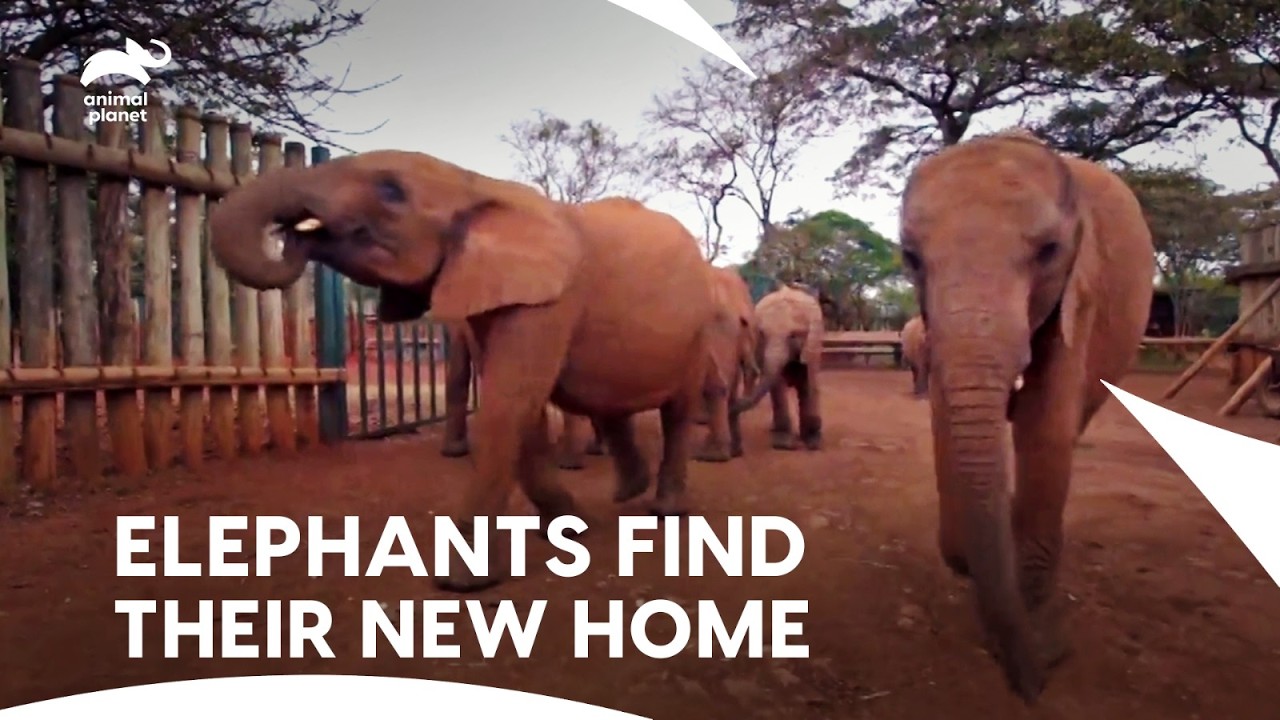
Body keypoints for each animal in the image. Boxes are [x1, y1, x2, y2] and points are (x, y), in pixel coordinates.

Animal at [207, 150, 720, 592]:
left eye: (391, 191)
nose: (293, 235)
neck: (475, 184)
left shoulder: (550, 300)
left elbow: (507, 407)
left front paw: (462, 584)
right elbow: (521, 412)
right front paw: (568, 531)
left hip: (699, 327)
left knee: (676, 411)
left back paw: (664, 510)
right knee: (606, 401)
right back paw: (627, 493)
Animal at [730, 283, 824, 451]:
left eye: (793, 335)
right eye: (762, 334)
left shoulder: (812, 344)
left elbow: (809, 383)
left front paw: (813, 442)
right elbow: (778, 386)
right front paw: (784, 445)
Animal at [897, 130, 1155, 703]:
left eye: (1049, 252)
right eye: (911, 258)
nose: (1037, 681)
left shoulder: (1080, 296)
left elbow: (1045, 428)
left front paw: (1038, 627)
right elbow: (947, 418)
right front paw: (970, 561)